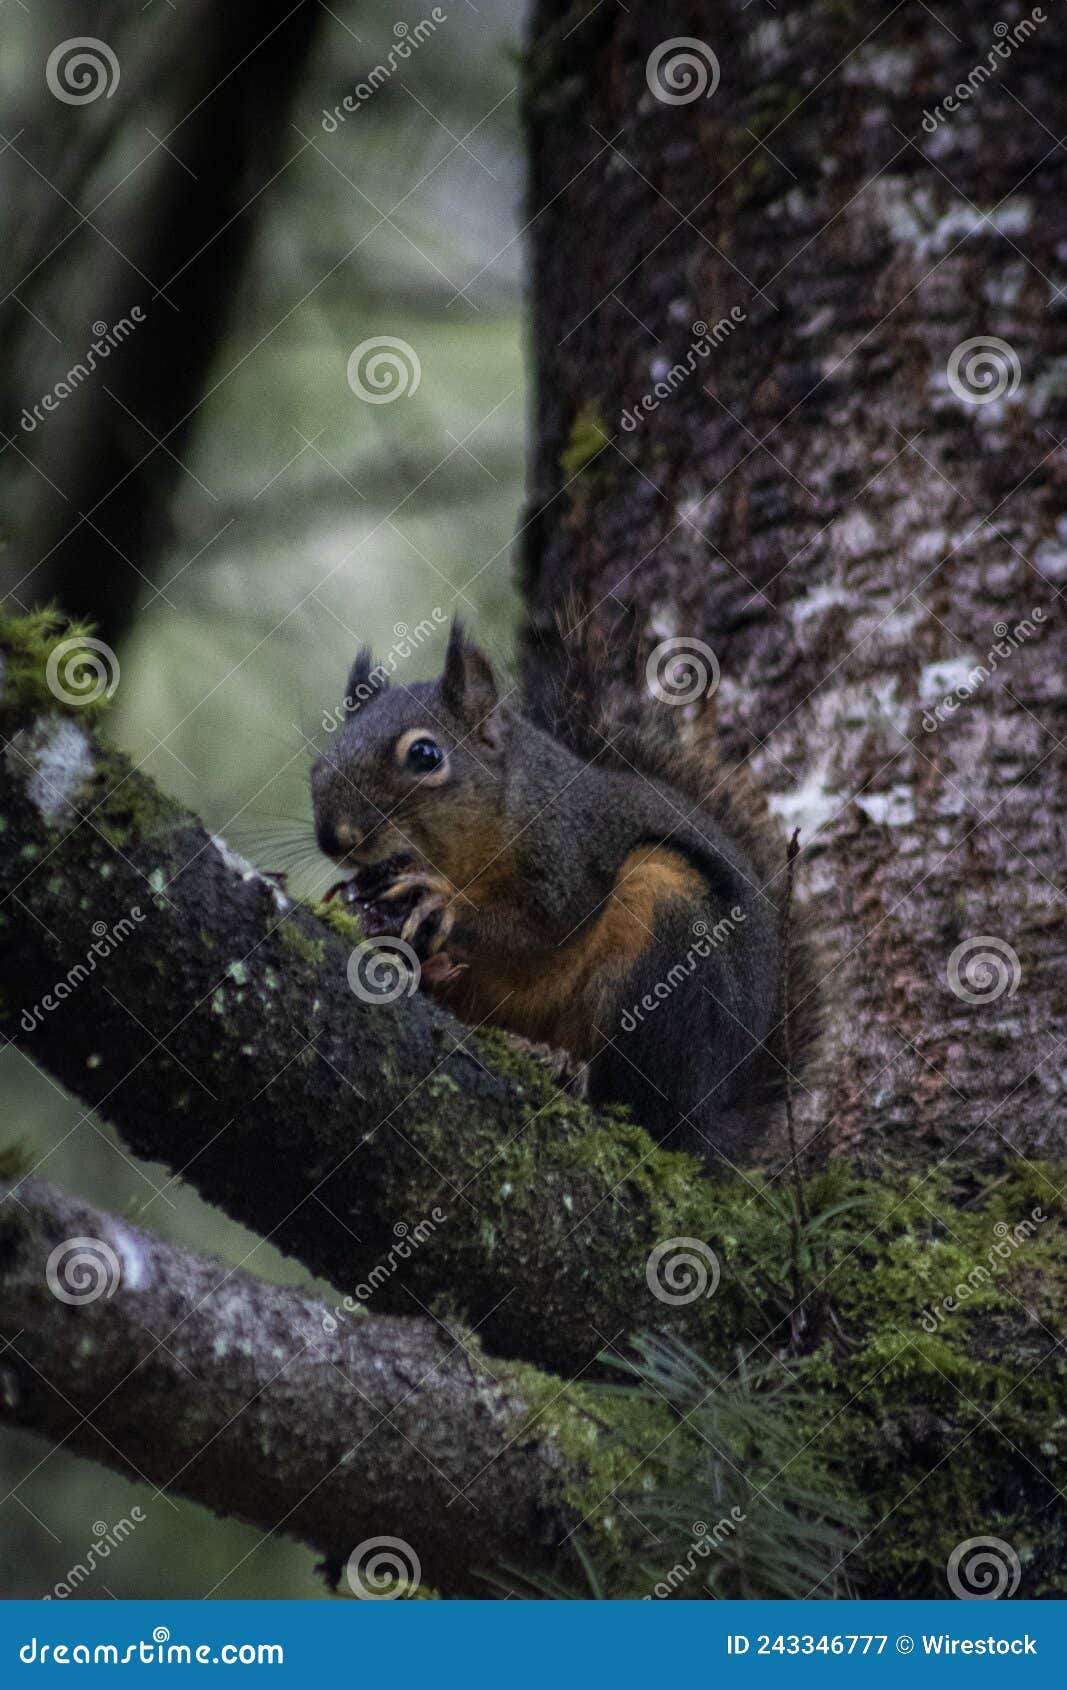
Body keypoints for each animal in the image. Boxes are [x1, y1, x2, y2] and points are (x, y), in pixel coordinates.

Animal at [311, 619, 814, 1169]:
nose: (334, 837)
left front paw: (440, 903)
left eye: (424, 754)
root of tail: (709, 1124)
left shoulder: (570, 851)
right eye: (320, 763)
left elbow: (546, 926)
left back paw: (572, 1073)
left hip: (674, 929)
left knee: (646, 1111)